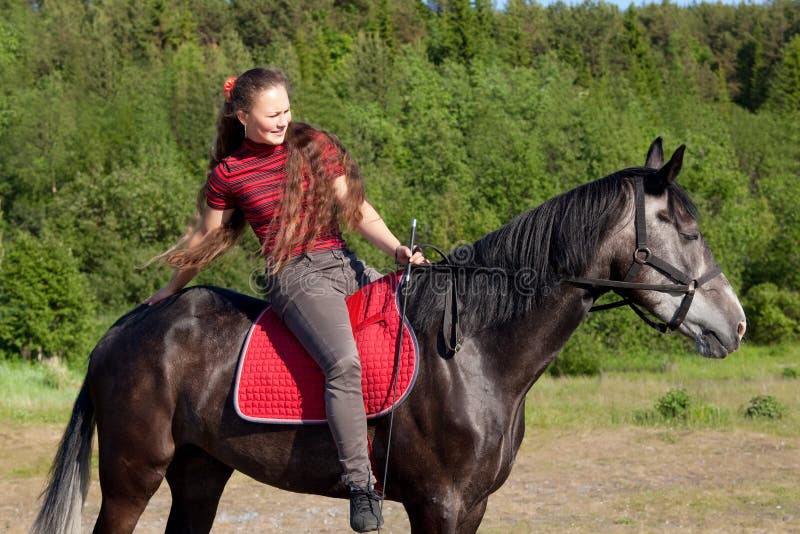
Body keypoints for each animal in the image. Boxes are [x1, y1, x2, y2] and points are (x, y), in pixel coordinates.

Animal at [32, 139, 746, 533]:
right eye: (687, 230)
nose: (735, 323)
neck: (475, 355)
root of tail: (126, 327)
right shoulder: (440, 505)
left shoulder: (471, 508)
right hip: (132, 475)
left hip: (200, 471)